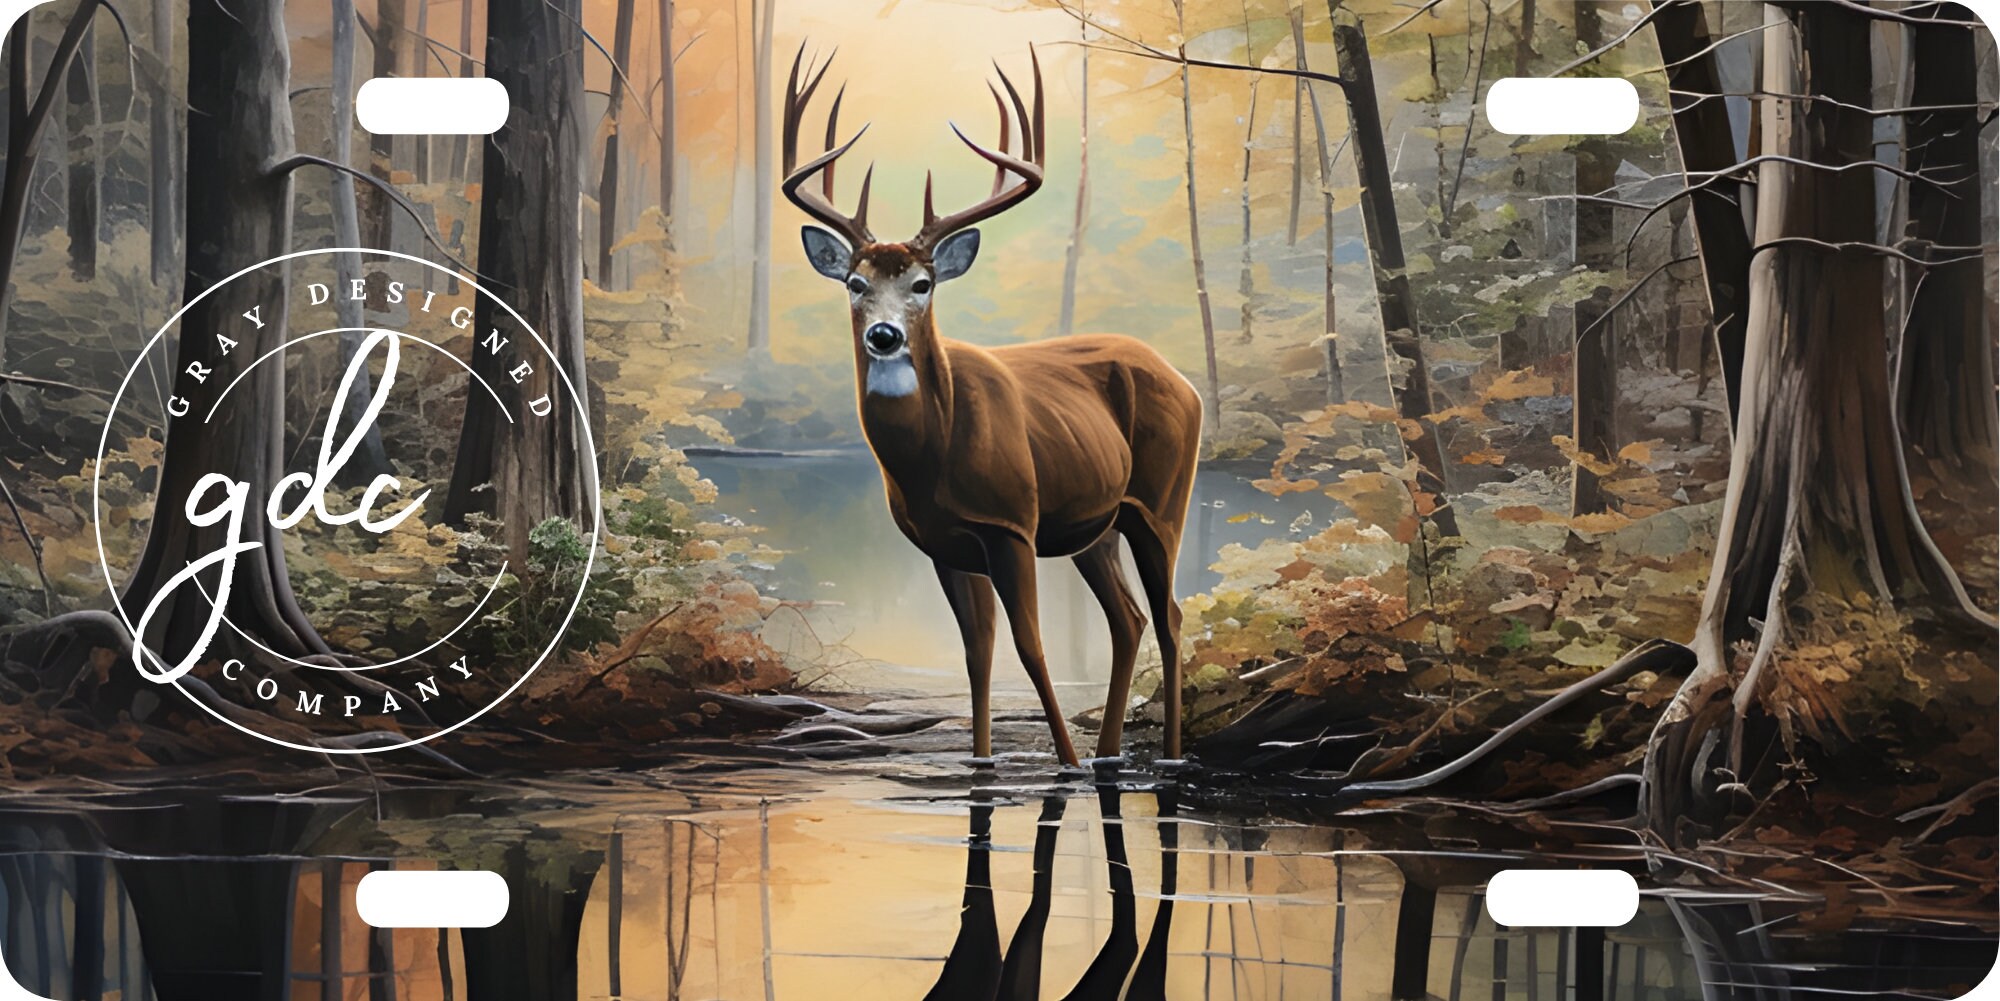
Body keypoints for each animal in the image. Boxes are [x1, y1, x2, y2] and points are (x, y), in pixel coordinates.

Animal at [779, 46, 1203, 767]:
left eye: (922, 283)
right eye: (855, 283)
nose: (883, 335)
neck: (934, 458)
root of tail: (1186, 378)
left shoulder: (1012, 525)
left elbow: (1029, 649)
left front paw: (1063, 763)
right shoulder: (945, 545)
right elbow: (978, 655)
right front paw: (981, 761)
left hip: (1160, 502)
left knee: (1169, 618)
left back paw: (1163, 755)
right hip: (1095, 526)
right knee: (1129, 618)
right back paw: (1109, 752)